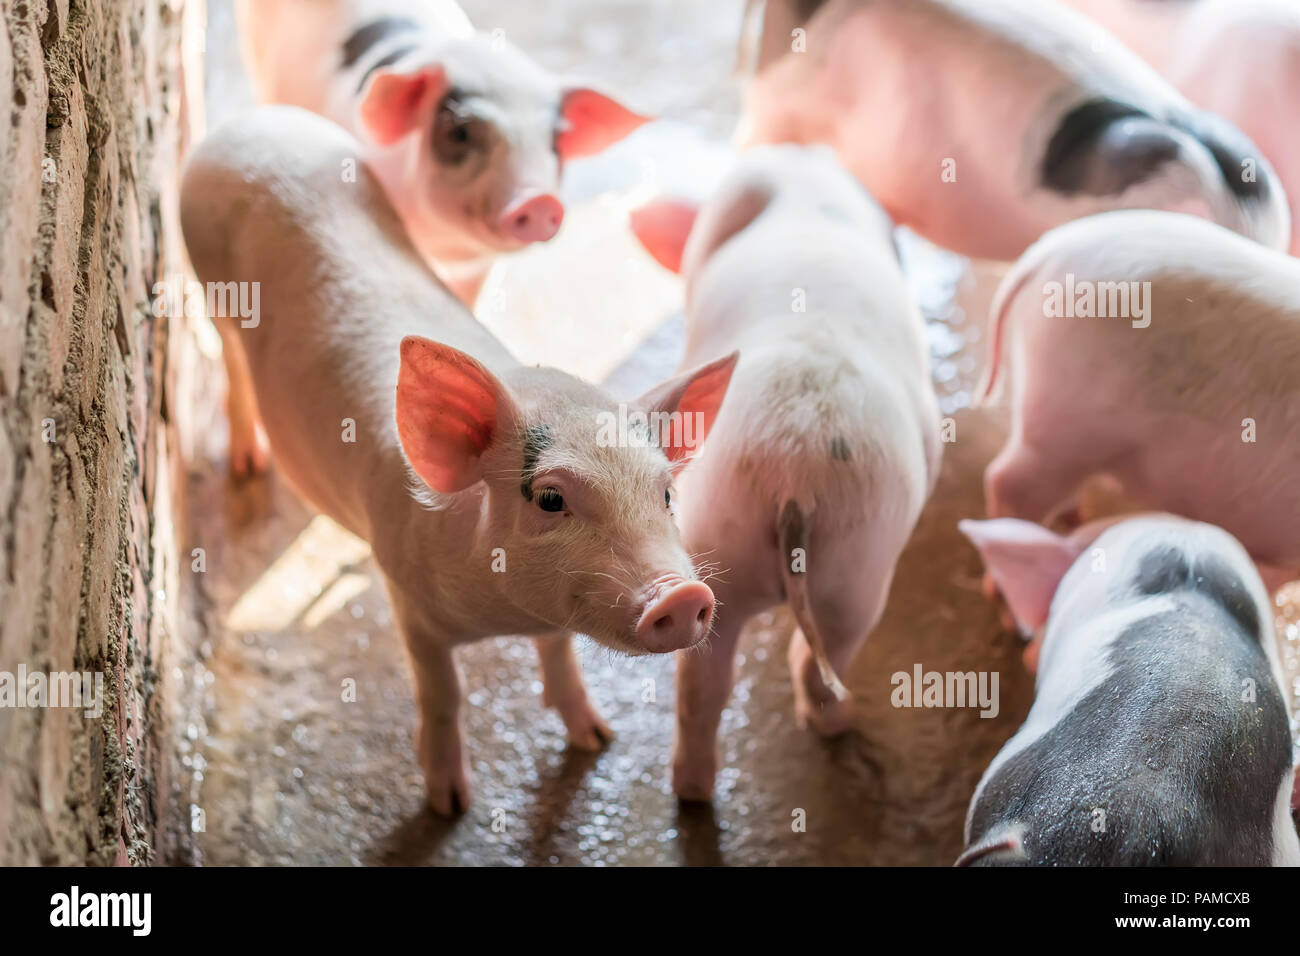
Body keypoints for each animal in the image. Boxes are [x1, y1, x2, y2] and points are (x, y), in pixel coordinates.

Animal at [180, 106, 736, 815]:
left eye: (666, 493)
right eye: (550, 498)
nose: (684, 594)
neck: (499, 615)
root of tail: (248, 121)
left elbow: (561, 655)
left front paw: (597, 739)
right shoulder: (408, 596)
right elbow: (444, 693)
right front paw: (449, 803)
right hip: (210, 286)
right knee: (229, 362)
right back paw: (249, 463)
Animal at [228, 0, 647, 474]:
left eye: (555, 143)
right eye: (460, 131)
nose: (539, 201)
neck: (442, 243)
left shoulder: (479, 267)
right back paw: (249, 465)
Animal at [630, 145, 942, 801]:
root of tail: (798, 474)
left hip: (737, 542)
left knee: (705, 681)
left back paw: (693, 791)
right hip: (856, 560)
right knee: (806, 662)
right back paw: (834, 727)